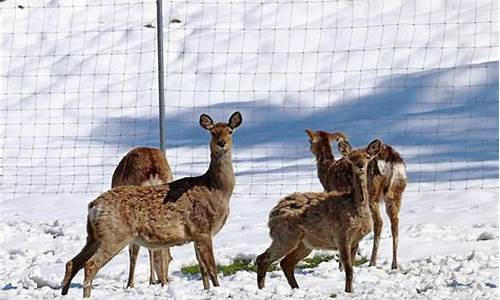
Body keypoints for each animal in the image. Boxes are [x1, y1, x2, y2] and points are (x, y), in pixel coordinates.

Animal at [258, 139, 382, 292]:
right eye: (352, 158)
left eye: (366, 156)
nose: (360, 165)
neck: (355, 206)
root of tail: (272, 214)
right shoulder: (341, 236)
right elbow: (348, 269)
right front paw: (348, 292)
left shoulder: (356, 240)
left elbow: (351, 268)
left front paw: (350, 291)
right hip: (285, 236)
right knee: (263, 258)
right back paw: (262, 289)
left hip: (305, 243)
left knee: (286, 262)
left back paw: (295, 288)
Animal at [304, 129, 406, 270]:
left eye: (310, 141)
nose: (309, 149)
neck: (326, 173)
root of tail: (391, 158)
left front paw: (342, 265)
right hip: (396, 189)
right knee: (395, 221)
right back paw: (394, 264)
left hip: (372, 191)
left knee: (379, 222)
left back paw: (372, 262)